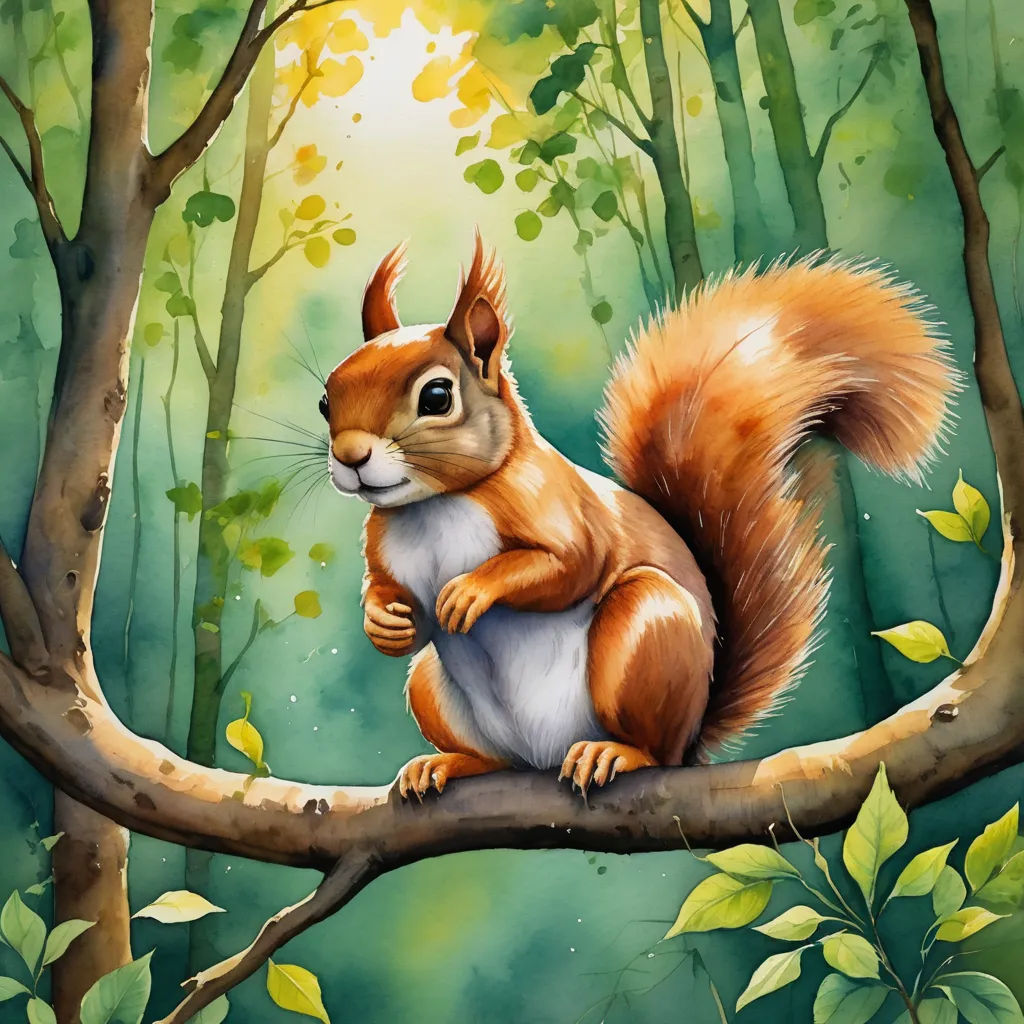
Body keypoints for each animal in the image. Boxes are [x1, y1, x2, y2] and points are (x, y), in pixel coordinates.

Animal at [321, 234, 956, 799]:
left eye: (436, 397)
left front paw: (472, 590)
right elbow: (392, 598)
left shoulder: (559, 507)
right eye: (327, 398)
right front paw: (384, 622)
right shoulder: (384, 551)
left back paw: (617, 754)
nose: (349, 457)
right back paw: (448, 764)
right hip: (434, 689)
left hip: (645, 626)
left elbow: (571, 565)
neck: (434, 505)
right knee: (491, 756)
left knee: (650, 743)